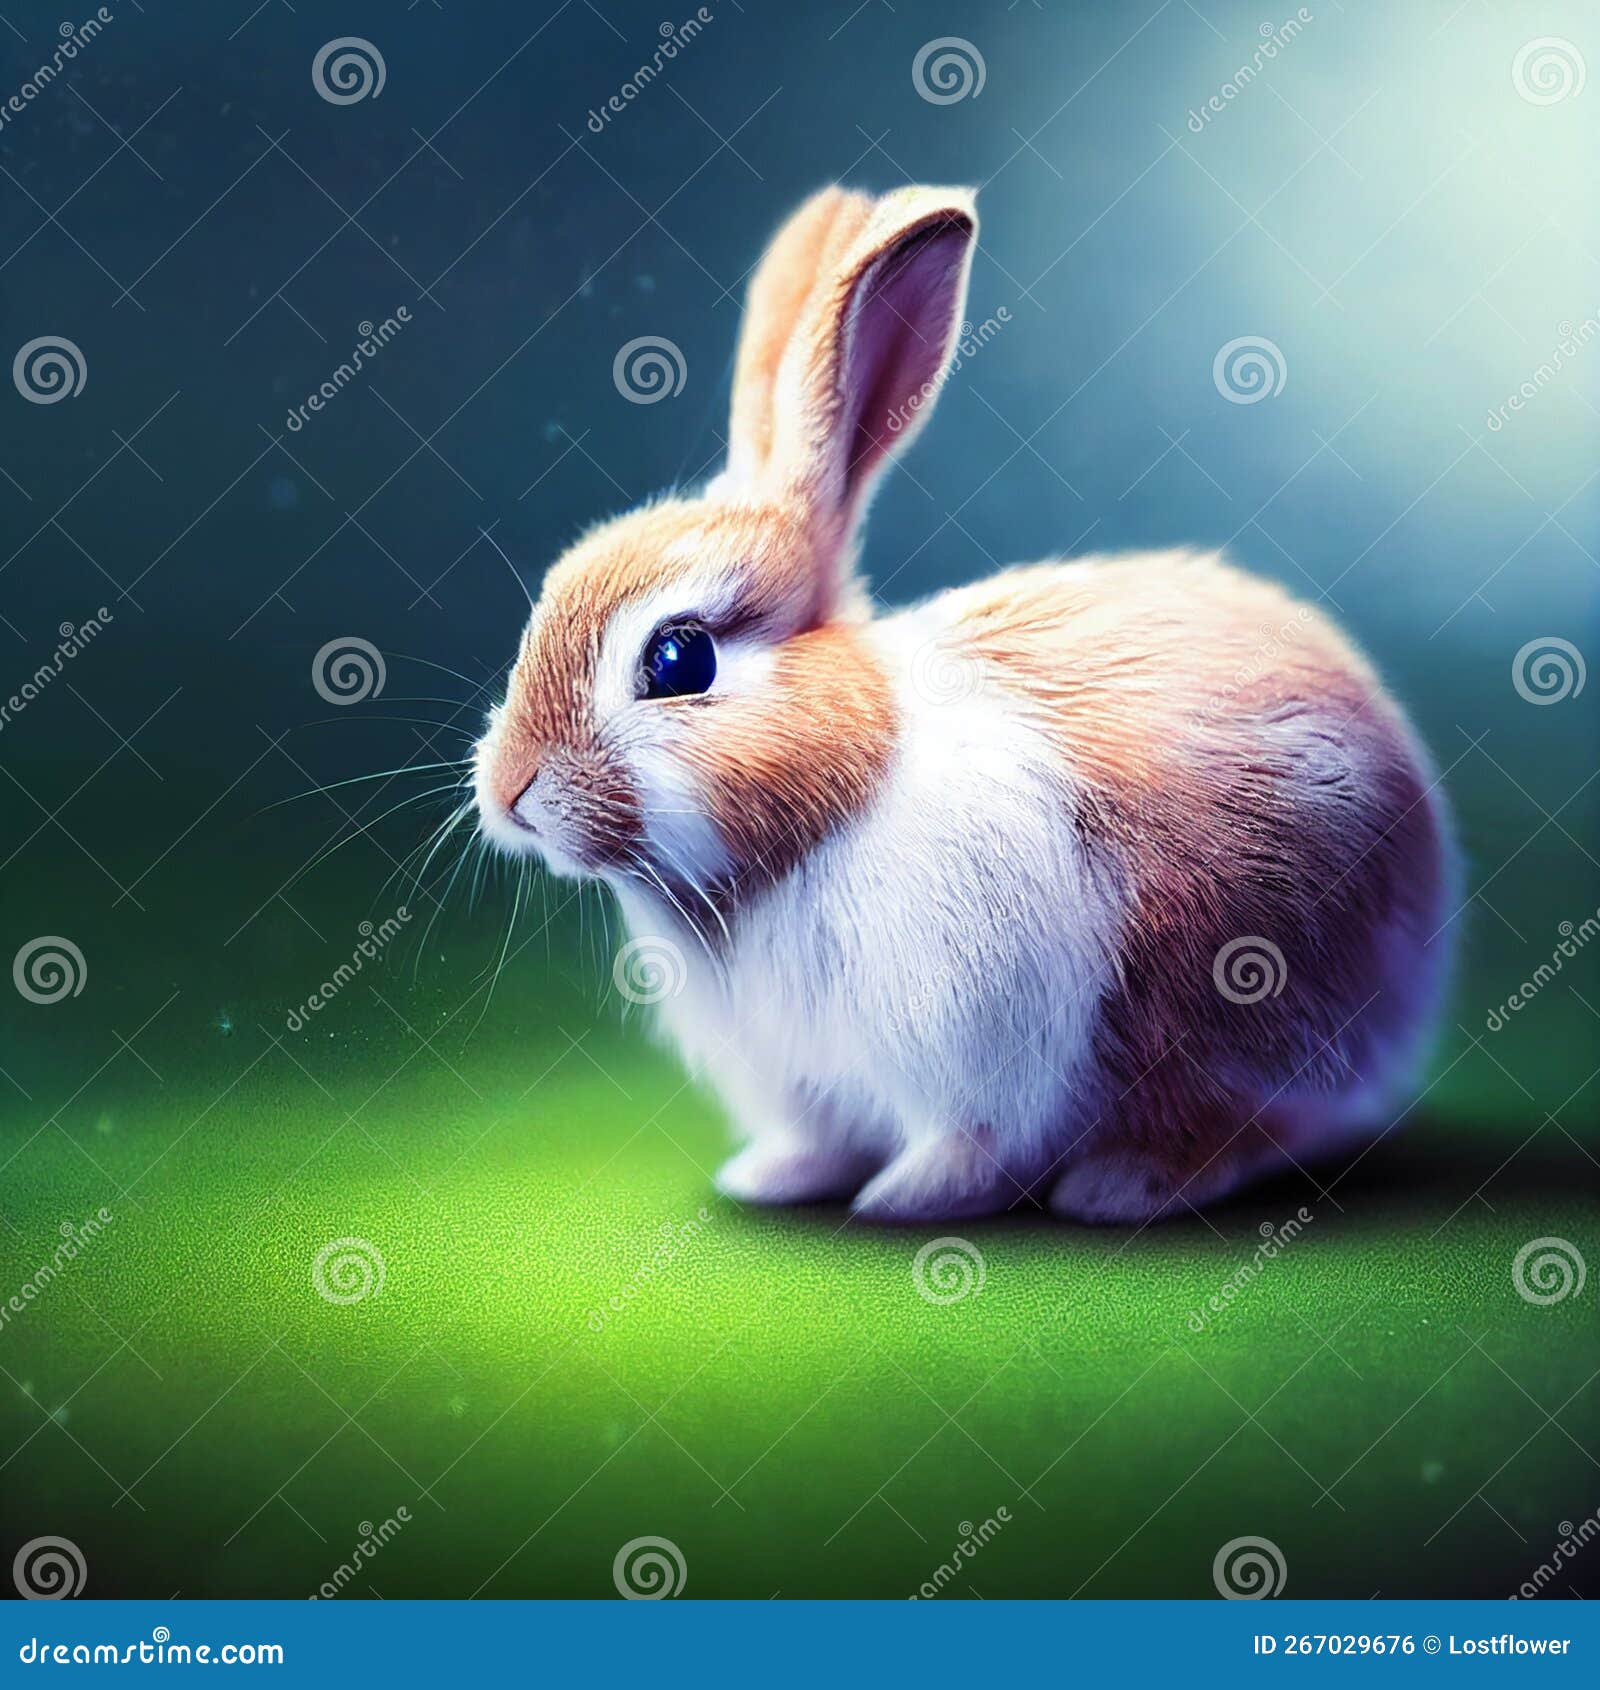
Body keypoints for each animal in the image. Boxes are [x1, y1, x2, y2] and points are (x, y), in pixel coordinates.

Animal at [472, 183, 1457, 1225]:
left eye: (676, 658)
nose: (509, 794)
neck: (822, 819)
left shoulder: (975, 1050)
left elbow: (971, 1142)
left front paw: (906, 1199)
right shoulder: (808, 1085)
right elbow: (819, 1140)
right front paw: (772, 1180)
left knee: (1249, 1119)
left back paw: (1122, 1186)